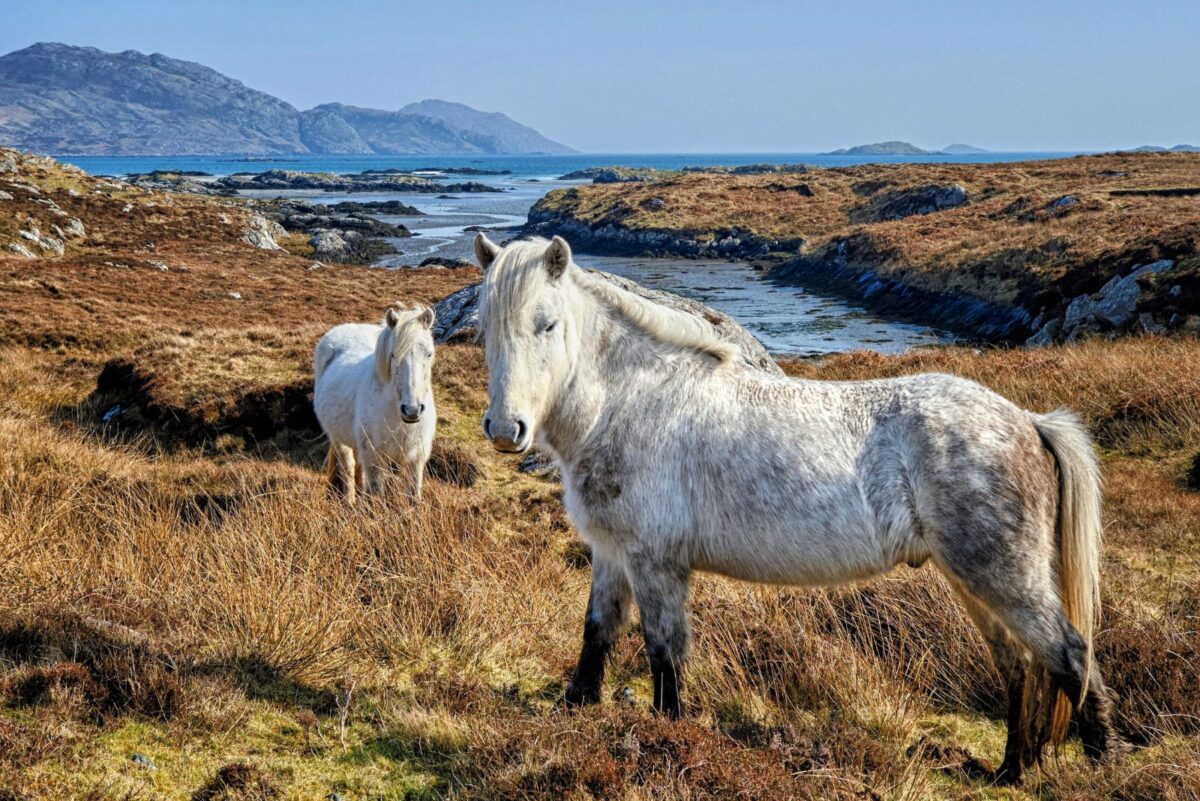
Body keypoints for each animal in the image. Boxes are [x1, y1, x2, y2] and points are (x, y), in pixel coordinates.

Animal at [313, 303, 436, 503]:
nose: (412, 410)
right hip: (338, 439)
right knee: (348, 468)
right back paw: (349, 501)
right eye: (393, 355)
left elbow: (414, 496)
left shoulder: (416, 459)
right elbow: (376, 495)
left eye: (428, 353)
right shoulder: (374, 458)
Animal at [472, 232, 1122, 785]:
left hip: (1002, 575)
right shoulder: (611, 554)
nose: (507, 430)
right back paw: (1009, 771)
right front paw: (575, 707)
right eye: (483, 328)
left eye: (547, 324)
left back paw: (1098, 764)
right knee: (1020, 665)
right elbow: (598, 633)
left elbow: (664, 653)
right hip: (973, 579)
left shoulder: (656, 563)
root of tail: (1029, 421)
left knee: (1069, 655)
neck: (630, 402)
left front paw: (671, 739)